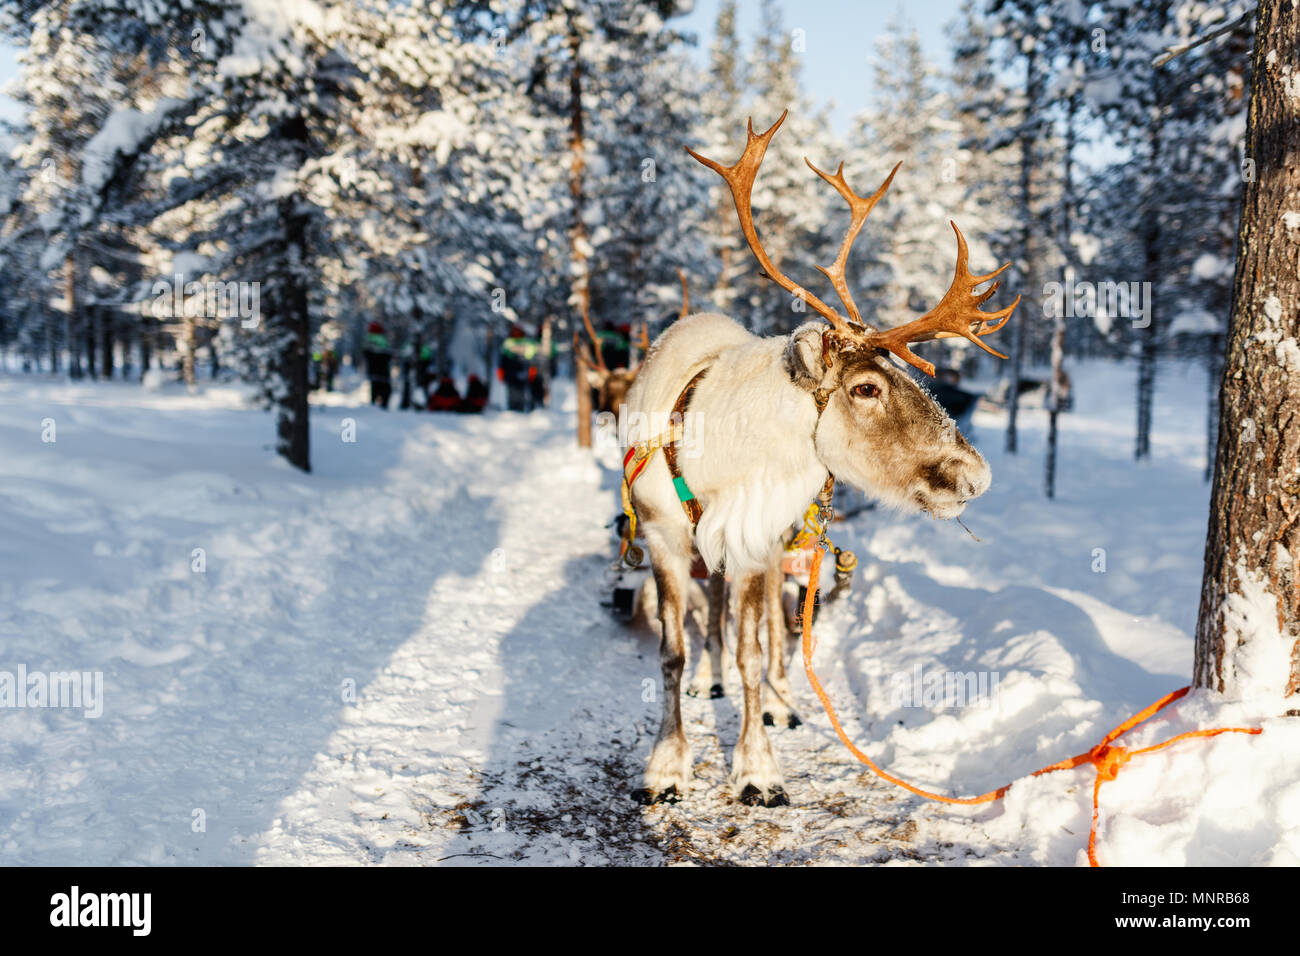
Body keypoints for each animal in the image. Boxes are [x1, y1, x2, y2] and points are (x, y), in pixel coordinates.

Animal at [621, 111, 1020, 807]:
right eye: (866, 388)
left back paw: (781, 702)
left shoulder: (756, 542)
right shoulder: (664, 537)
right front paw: (666, 767)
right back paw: (709, 678)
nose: (975, 474)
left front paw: (757, 768)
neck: (723, 461)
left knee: (776, 635)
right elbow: (672, 652)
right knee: (713, 615)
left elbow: (757, 652)